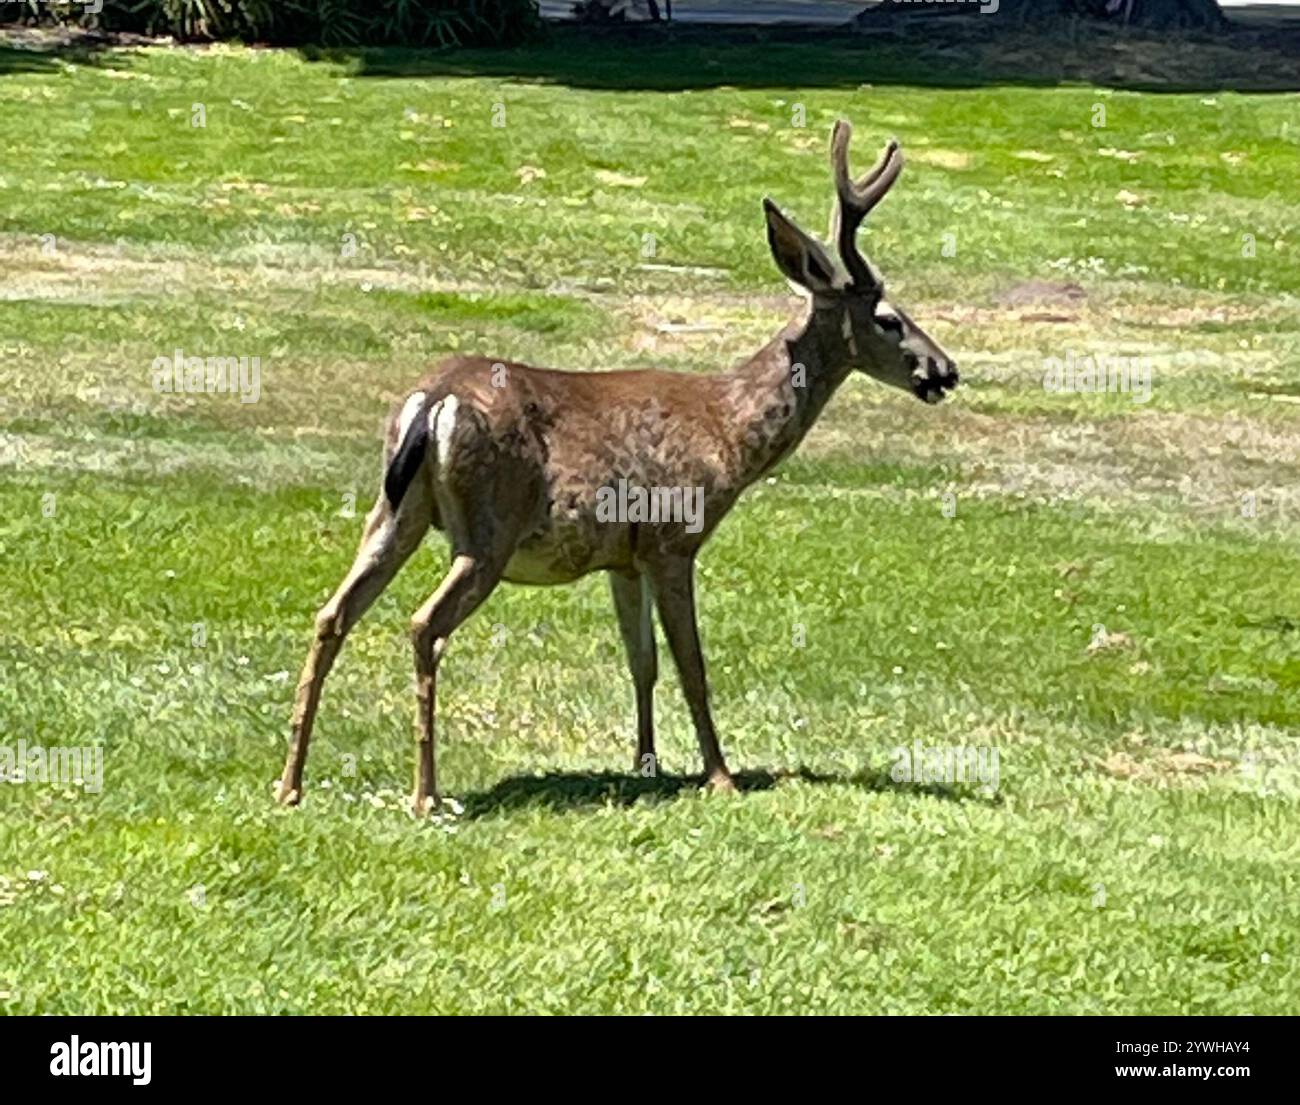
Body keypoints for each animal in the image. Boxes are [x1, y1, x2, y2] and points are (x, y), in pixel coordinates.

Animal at [277, 119, 958, 816]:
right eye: (889, 319)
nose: (946, 370)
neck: (729, 431)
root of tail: (433, 400)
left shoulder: (621, 558)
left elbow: (642, 660)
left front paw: (646, 762)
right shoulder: (672, 539)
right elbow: (691, 663)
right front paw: (720, 776)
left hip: (395, 510)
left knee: (330, 615)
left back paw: (290, 784)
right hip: (487, 528)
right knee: (423, 624)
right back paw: (426, 795)